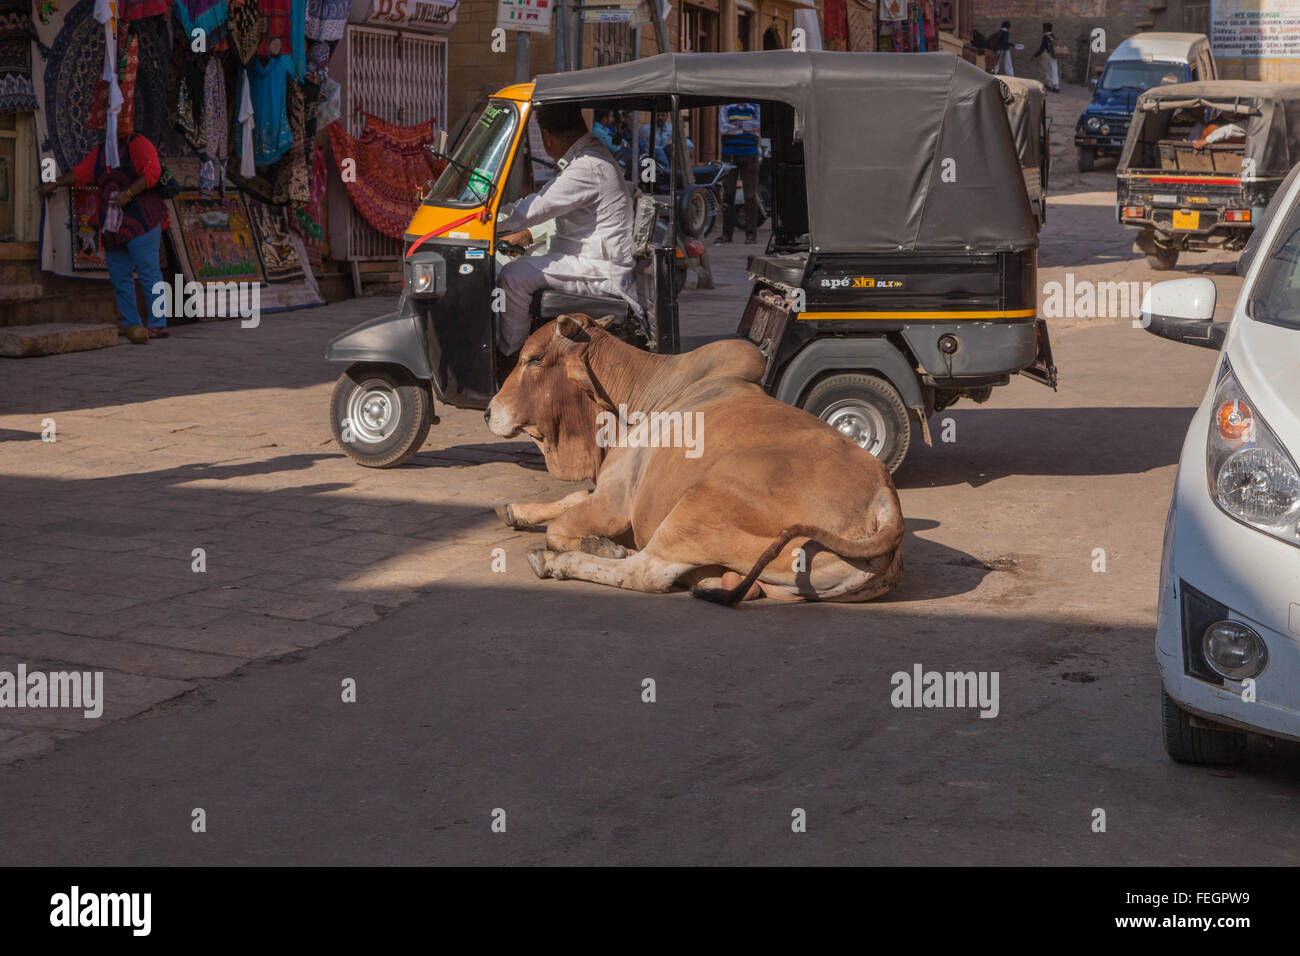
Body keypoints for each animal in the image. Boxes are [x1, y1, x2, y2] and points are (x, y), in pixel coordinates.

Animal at [486, 314, 905, 604]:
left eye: (533, 359)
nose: (489, 412)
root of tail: (884, 503)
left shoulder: (614, 501)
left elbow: (559, 530)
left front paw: (598, 545)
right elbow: (569, 499)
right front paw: (516, 510)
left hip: (699, 506)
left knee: (645, 573)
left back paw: (558, 563)